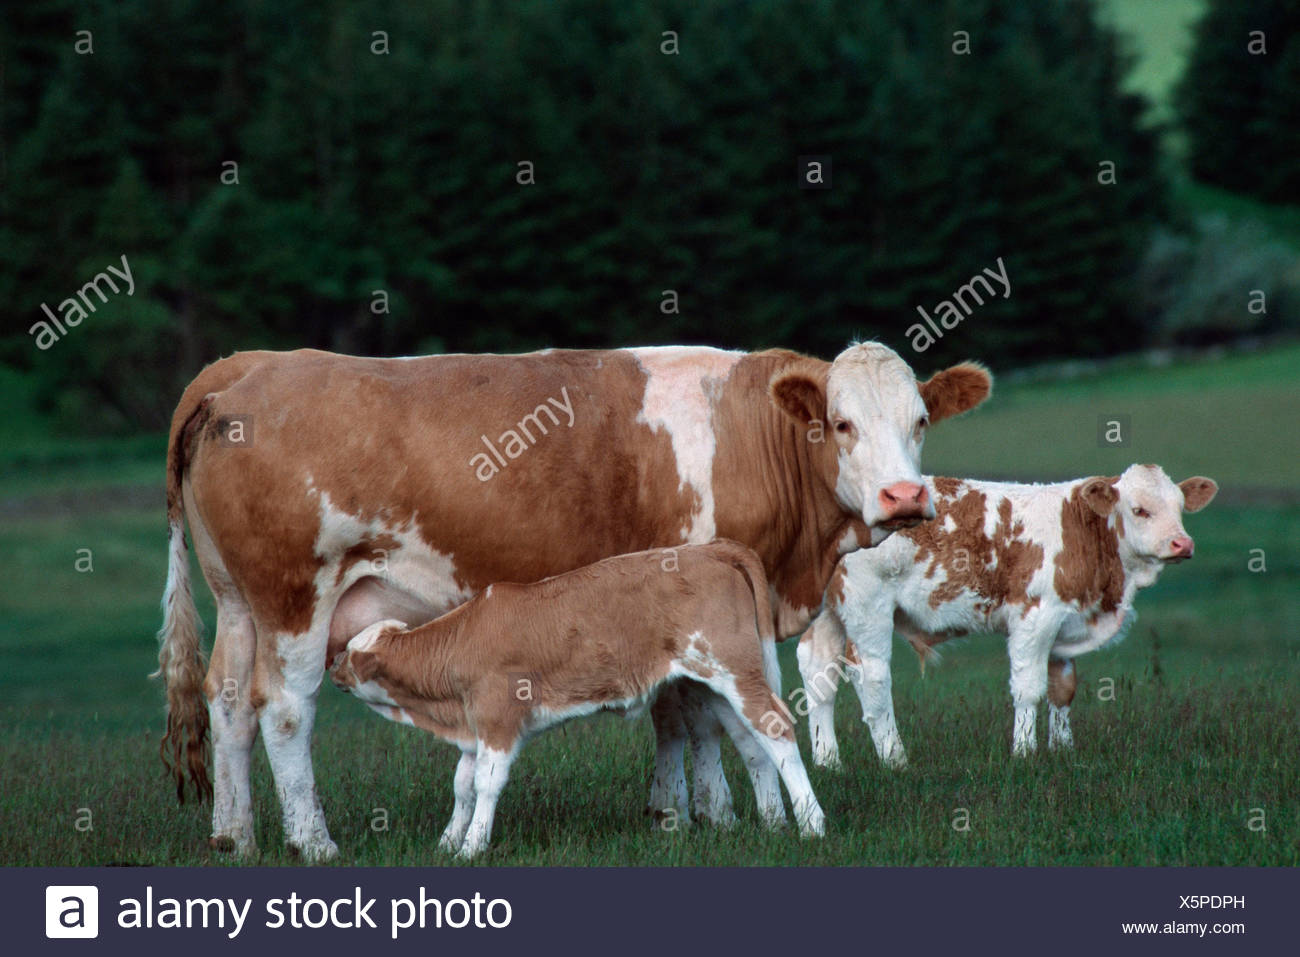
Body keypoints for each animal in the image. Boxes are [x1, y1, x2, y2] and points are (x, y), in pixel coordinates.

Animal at [329, 541, 825, 857]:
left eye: (350, 653)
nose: (331, 667)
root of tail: (712, 547)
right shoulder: (474, 723)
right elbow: (463, 785)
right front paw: (449, 842)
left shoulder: (498, 718)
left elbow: (487, 783)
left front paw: (472, 846)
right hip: (716, 681)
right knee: (751, 742)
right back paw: (776, 823)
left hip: (734, 670)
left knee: (777, 728)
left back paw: (812, 824)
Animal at [796, 464, 1218, 767]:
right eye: (1140, 510)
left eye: (1180, 508)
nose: (1182, 544)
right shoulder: (1035, 615)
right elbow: (1029, 688)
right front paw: (1025, 753)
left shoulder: (1064, 623)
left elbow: (1063, 688)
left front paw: (1063, 749)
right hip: (868, 607)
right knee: (871, 677)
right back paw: (894, 759)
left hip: (827, 614)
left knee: (819, 676)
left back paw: (828, 761)